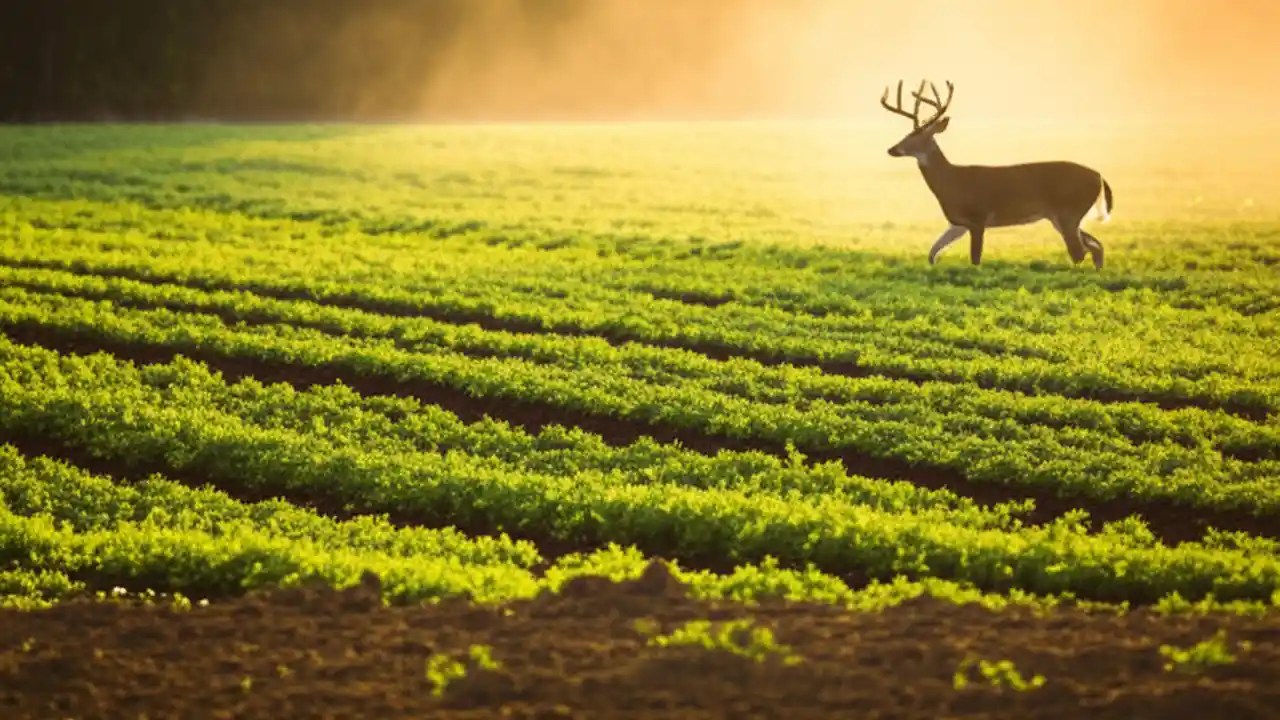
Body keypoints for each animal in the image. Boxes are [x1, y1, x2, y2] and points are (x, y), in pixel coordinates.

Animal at [880, 80, 1113, 269]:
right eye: (906, 134)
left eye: (915, 136)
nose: (892, 149)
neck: (952, 182)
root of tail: (1100, 177)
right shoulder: (957, 223)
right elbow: (932, 254)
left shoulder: (977, 218)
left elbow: (975, 259)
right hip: (1064, 217)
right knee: (1096, 247)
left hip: (1069, 212)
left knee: (1080, 252)